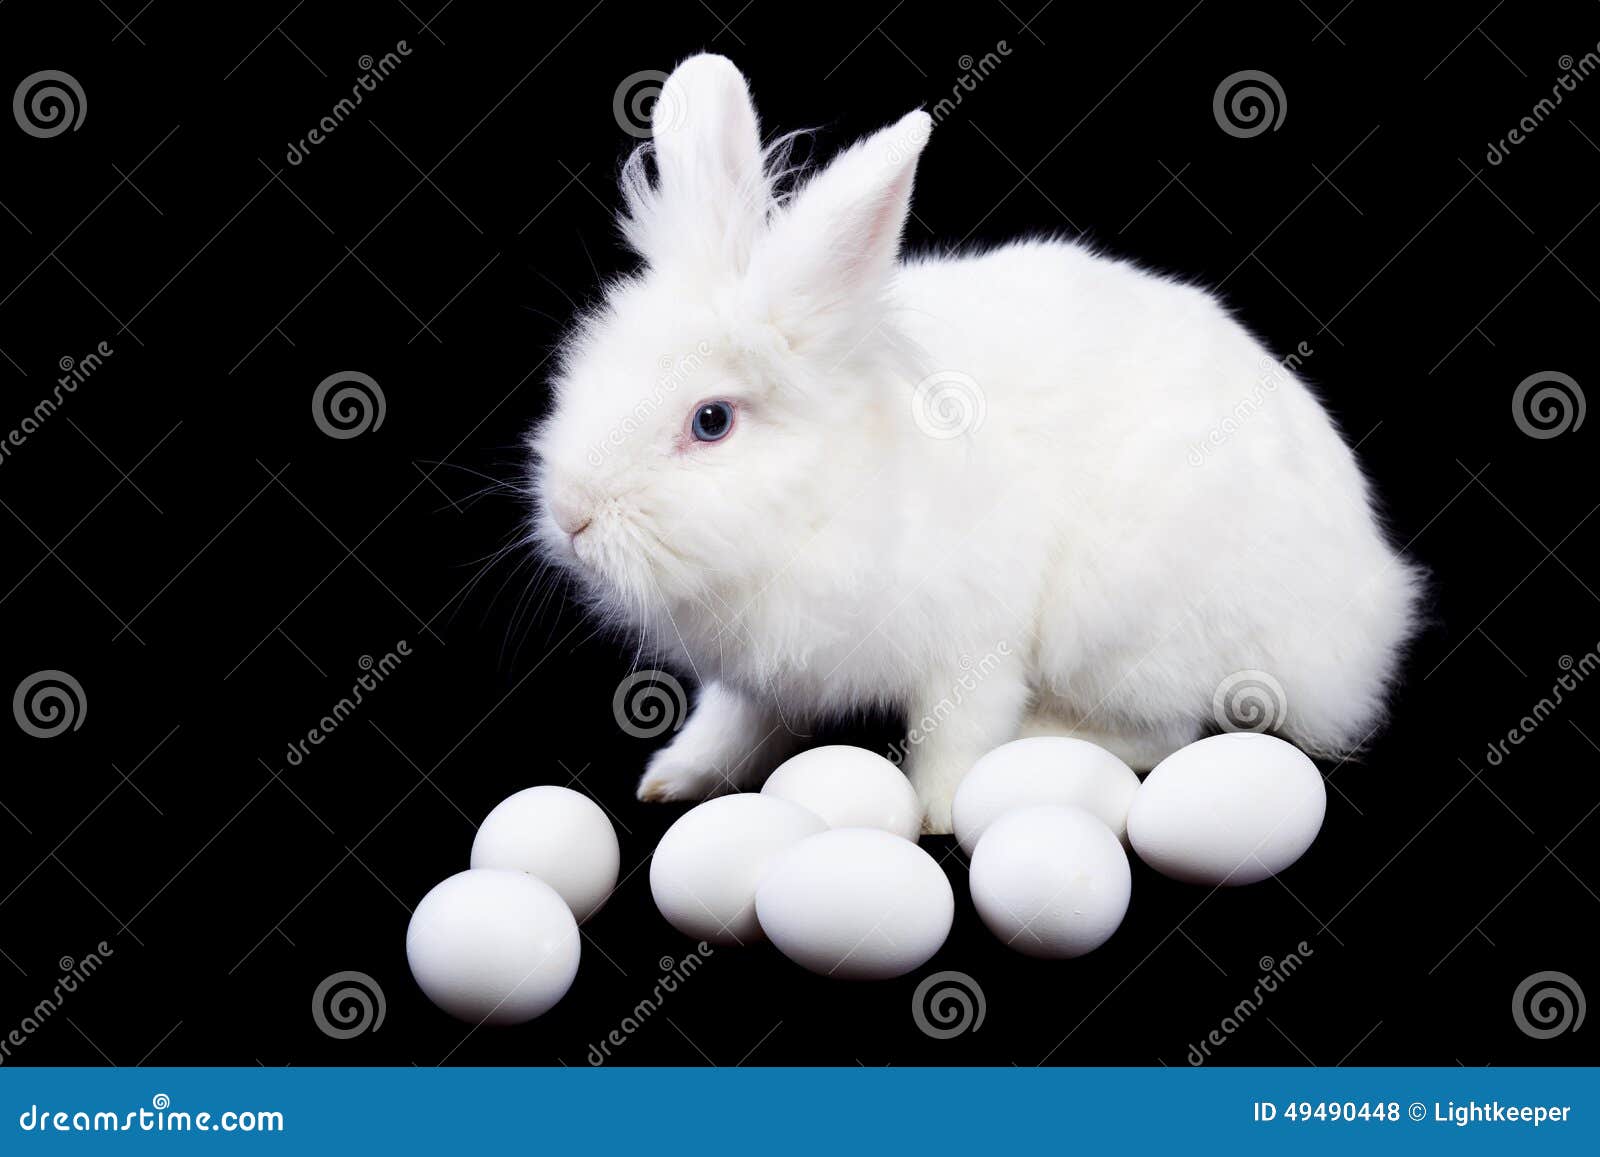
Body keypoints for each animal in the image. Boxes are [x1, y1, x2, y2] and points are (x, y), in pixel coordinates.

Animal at [529, 54, 1422, 834]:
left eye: (711, 421)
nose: (572, 517)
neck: (824, 500)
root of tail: (1368, 613)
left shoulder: (972, 643)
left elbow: (957, 734)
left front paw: (940, 814)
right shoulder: (757, 681)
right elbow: (731, 725)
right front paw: (670, 778)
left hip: (1127, 627)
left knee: (1167, 729)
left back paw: (1048, 736)